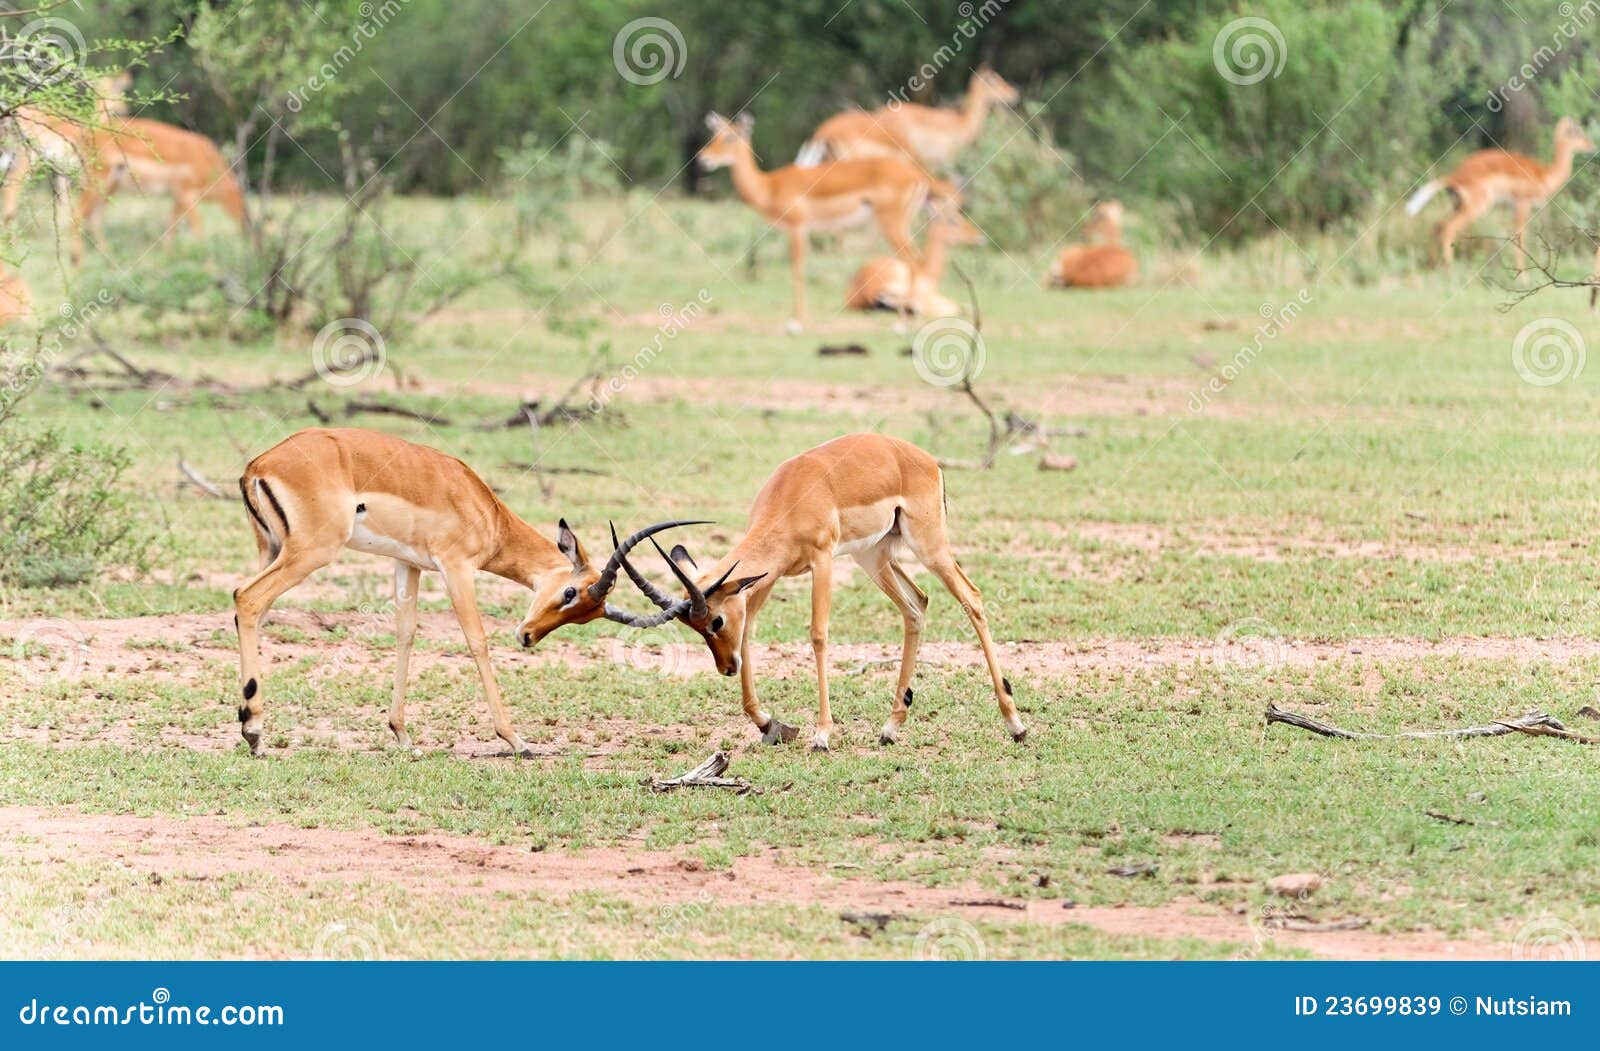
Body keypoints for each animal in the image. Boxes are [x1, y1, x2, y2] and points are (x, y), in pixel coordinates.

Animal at [234, 427, 696, 757]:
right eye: (570, 592)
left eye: (586, 613)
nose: (527, 636)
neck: (483, 507)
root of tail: (260, 463)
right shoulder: (456, 568)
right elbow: (477, 640)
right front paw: (517, 740)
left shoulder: (409, 565)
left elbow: (405, 635)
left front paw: (403, 736)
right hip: (312, 551)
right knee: (247, 598)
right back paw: (253, 731)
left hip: (271, 548)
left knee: (247, 607)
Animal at [609, 433, 1026, 752]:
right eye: (695, 628)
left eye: (716, 620)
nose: (726, 668)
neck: (791, 494)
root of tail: (923, 458)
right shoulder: (768, 577)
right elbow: (749, 636)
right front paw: (768, 724)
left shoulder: (821, 561)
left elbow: (818, 635)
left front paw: (822, 735)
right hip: (872, 555)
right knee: (916, 605)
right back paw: (890, 728)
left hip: (927, 544)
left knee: (971, 597)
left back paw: (1016, 725)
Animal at [698, 111, 951, 333]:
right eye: (713, 136)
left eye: (730, 137)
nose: (703, 159)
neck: (769, 186)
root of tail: (917, 176)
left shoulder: (798, 228)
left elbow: (797, 269)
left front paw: (796, 323)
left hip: (891, 224)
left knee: (914, 261)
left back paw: (902, 325)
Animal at [1405, 116, 1595, 269]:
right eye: (1578, 132)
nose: (1592, 145)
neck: (1544, 174)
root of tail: (1454, 176)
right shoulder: (1522, 204)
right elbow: (1520, 237)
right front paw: (1523, 280)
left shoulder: (1511, 207)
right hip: (1476, 207)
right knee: (1448, 228)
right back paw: (1450, 271)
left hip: (1458, 205)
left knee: (1437, 225)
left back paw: (1433, 266)